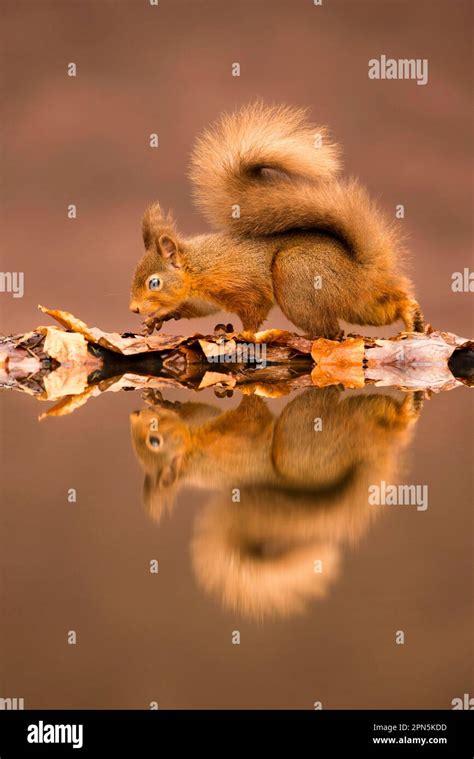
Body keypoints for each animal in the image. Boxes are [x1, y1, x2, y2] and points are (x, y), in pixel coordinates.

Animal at [130, 102, 424, 338]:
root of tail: (362, 272)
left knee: (332, 332)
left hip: (297, 277)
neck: (197, 266)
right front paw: (158, 318)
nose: (133, 309)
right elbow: (197, 308)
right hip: (357, 305)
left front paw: (243, 334)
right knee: (380, 308)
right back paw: (411, 313)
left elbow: (253, 309)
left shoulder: (242, 285)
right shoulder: (203, 298)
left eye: (154, 282)